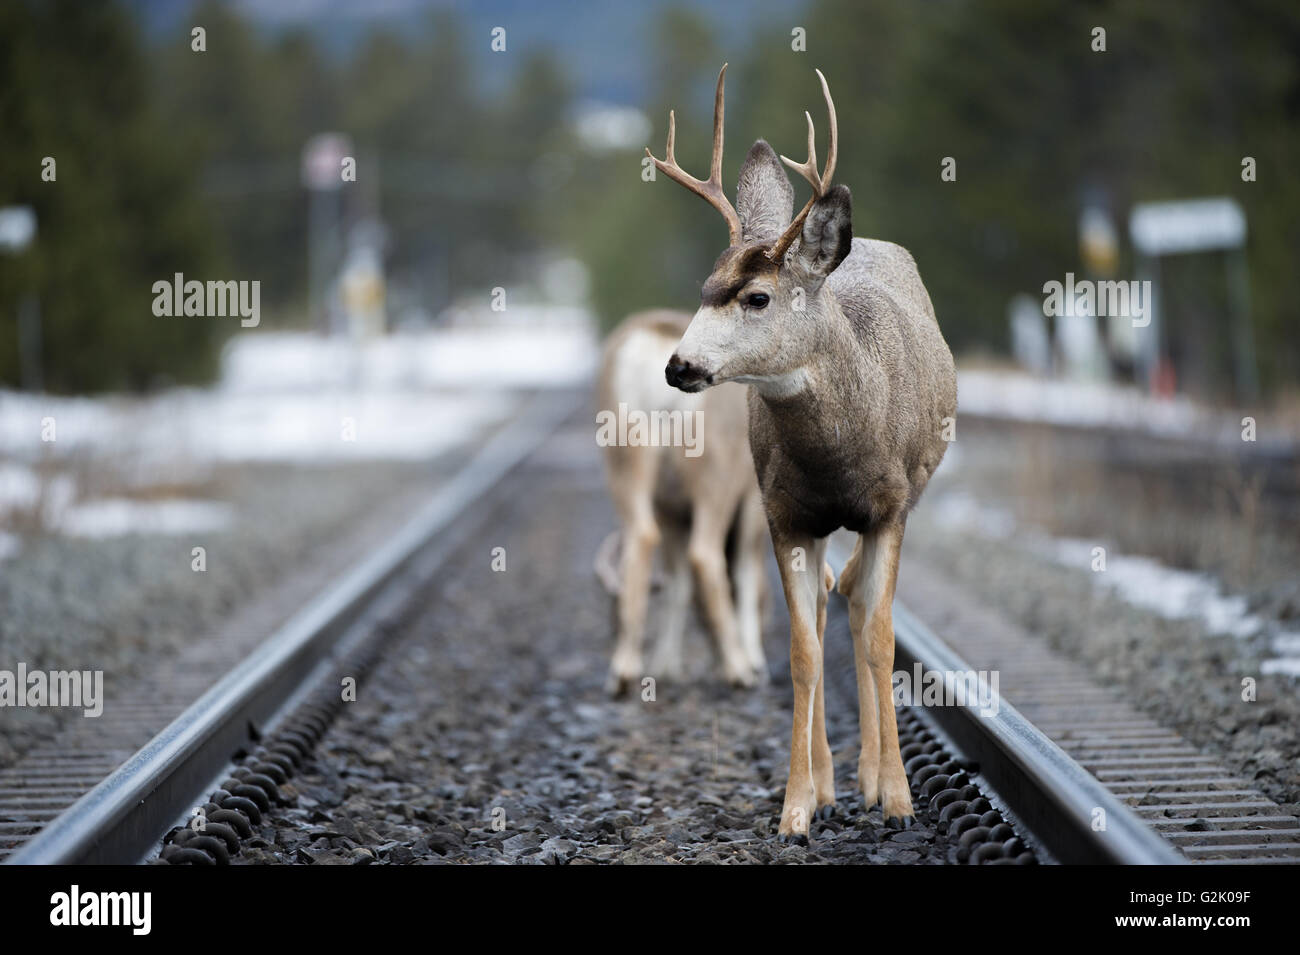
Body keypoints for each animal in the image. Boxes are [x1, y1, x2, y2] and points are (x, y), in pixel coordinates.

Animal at [595, 310, 770, 696]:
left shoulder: (672, 510)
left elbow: (677, 584)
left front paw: (665, 666)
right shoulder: (753, 499)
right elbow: (747, 574)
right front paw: (754, 659)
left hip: (627, 460)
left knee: (643, 539)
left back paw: (624, 671)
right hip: (713, 480)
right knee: (705, 555)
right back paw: (740, 669)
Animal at [647, 65, 957, 840]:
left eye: (757, 297)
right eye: (704, 290)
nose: (678, 365)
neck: (837, 453)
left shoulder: (890, 505)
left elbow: (878, 640)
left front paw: (898, 798)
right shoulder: (784, 513)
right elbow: (801, 651)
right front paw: (796, 807)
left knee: (860, 607)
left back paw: (871, 779)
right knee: (824, 607)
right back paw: (829, 784)